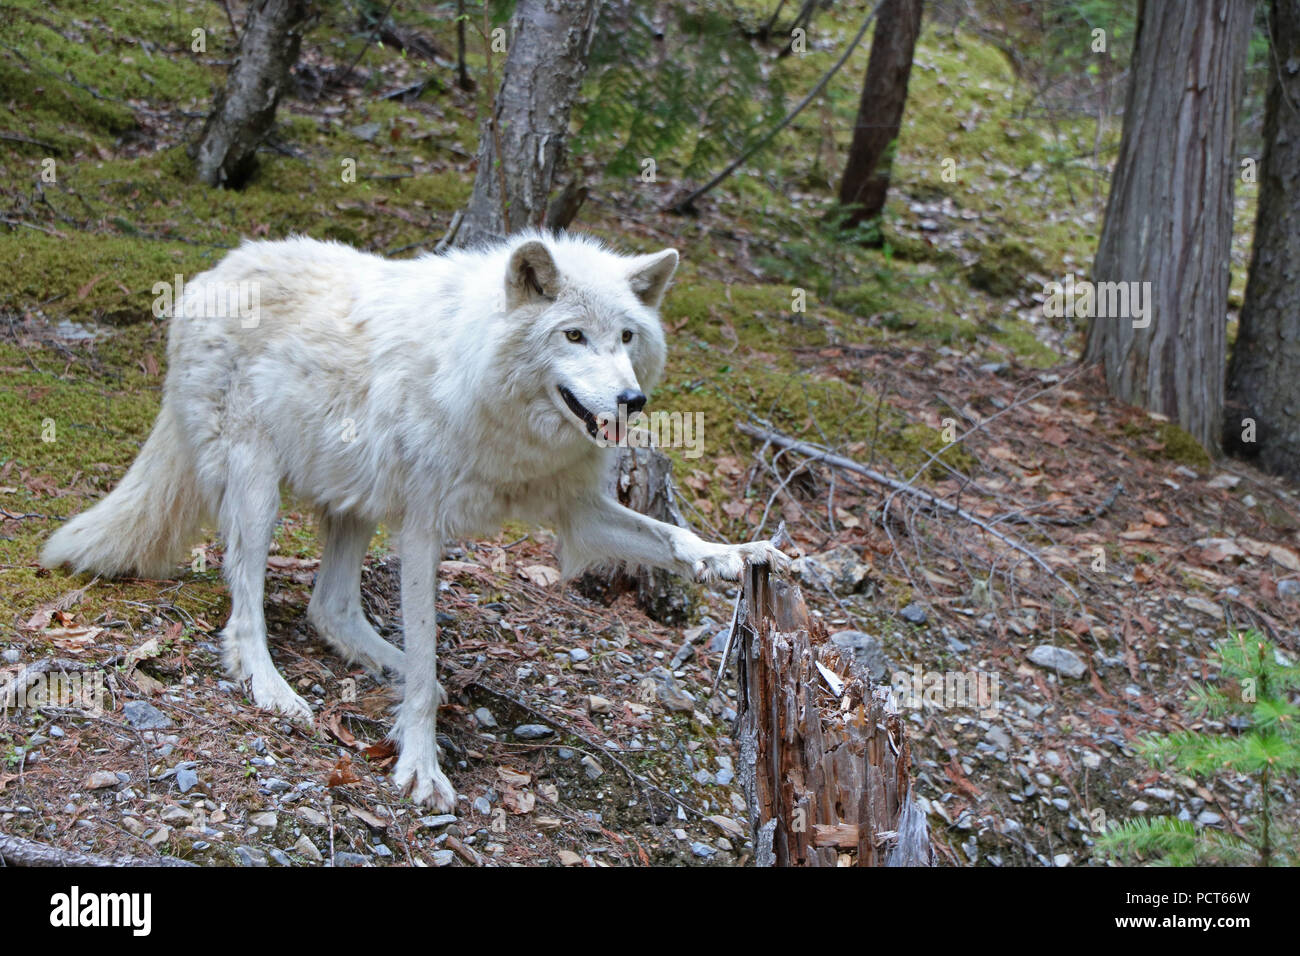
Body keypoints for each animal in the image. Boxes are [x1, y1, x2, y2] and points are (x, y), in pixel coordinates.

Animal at [41, 231, 788, 810]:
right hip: (257, 489)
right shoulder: (424, 528)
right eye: (573, 335)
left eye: (627, 337)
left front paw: (740, 554)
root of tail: (208, 275)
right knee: (246, 610)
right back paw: (276, 690)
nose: (633, 400)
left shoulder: (577, 513)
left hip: (355, 500)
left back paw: (385, 664)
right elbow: (428, 667)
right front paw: (421, 766)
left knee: (329, 608)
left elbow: (673, 536)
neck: (501, 405)